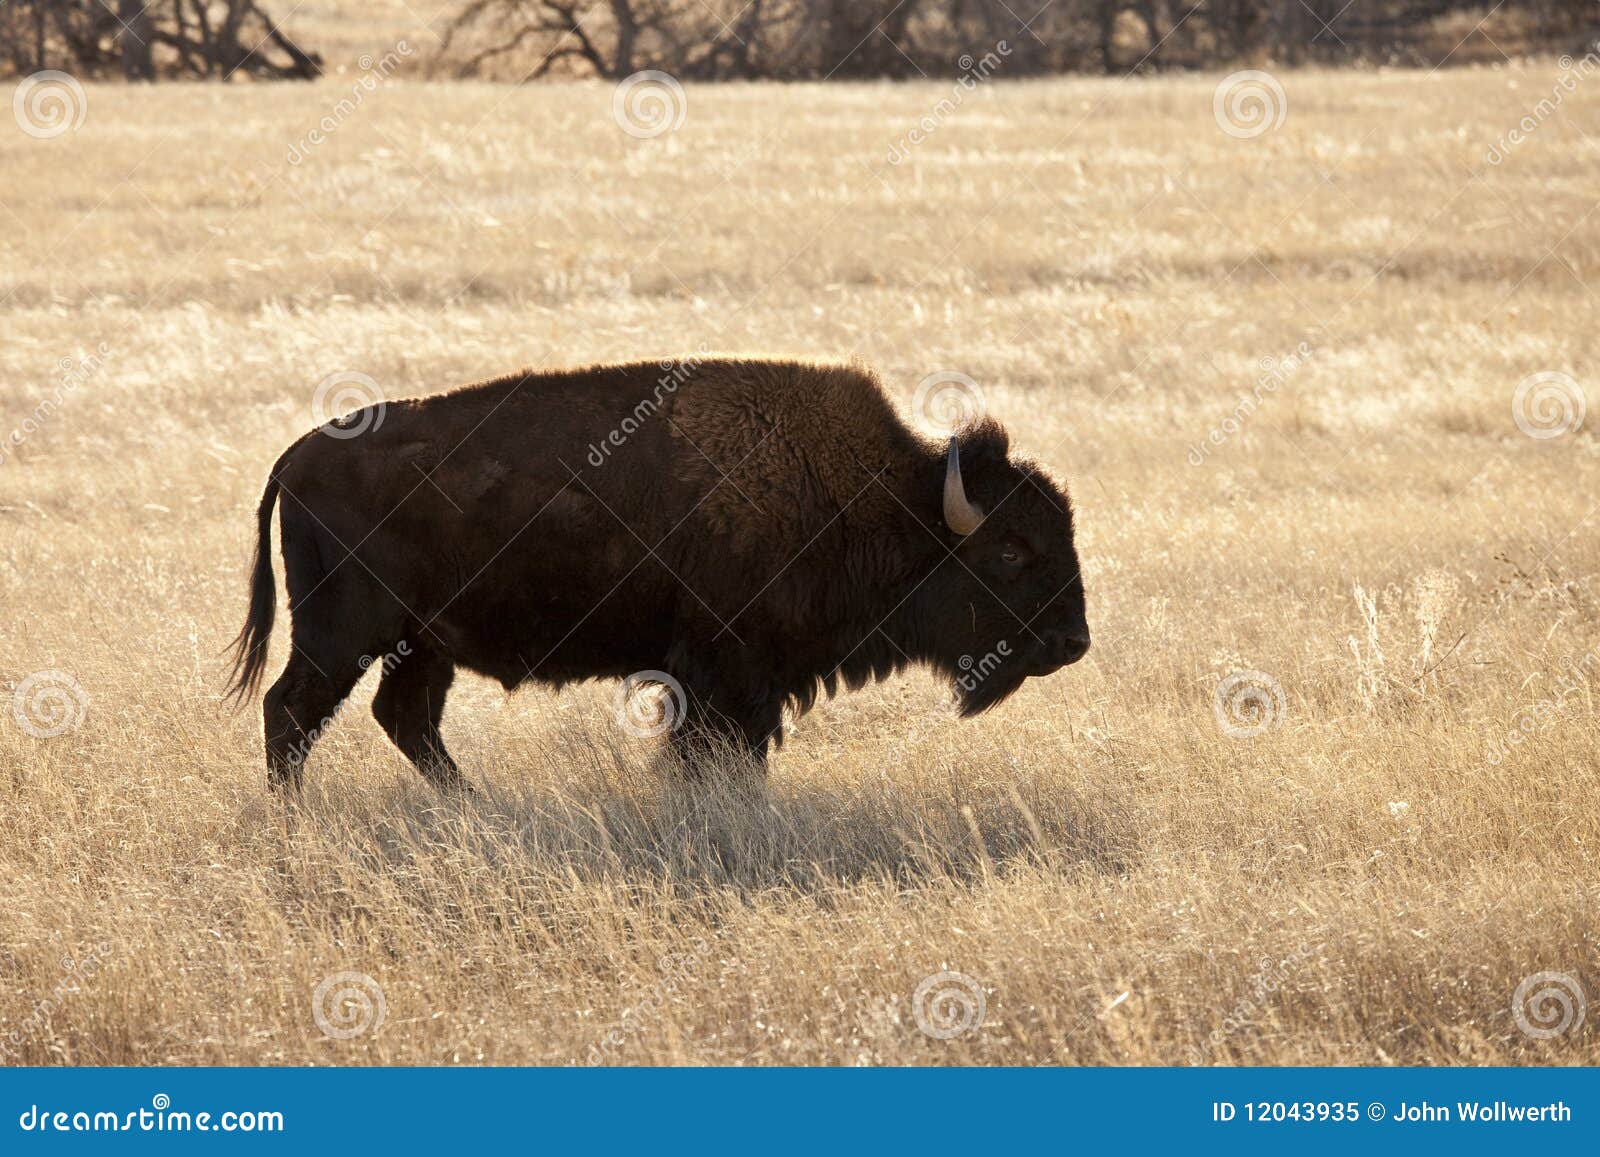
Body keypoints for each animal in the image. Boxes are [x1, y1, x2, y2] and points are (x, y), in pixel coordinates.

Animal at [227, 356, 1089, 792]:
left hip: (421, 645)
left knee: (405, 720)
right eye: (1012, 550)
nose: (1073, 641)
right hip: (343, 635)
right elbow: (716, 754)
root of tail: (297, 455)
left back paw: (475, 809)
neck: (878, 499)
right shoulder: (722, 674)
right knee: (291, 713)